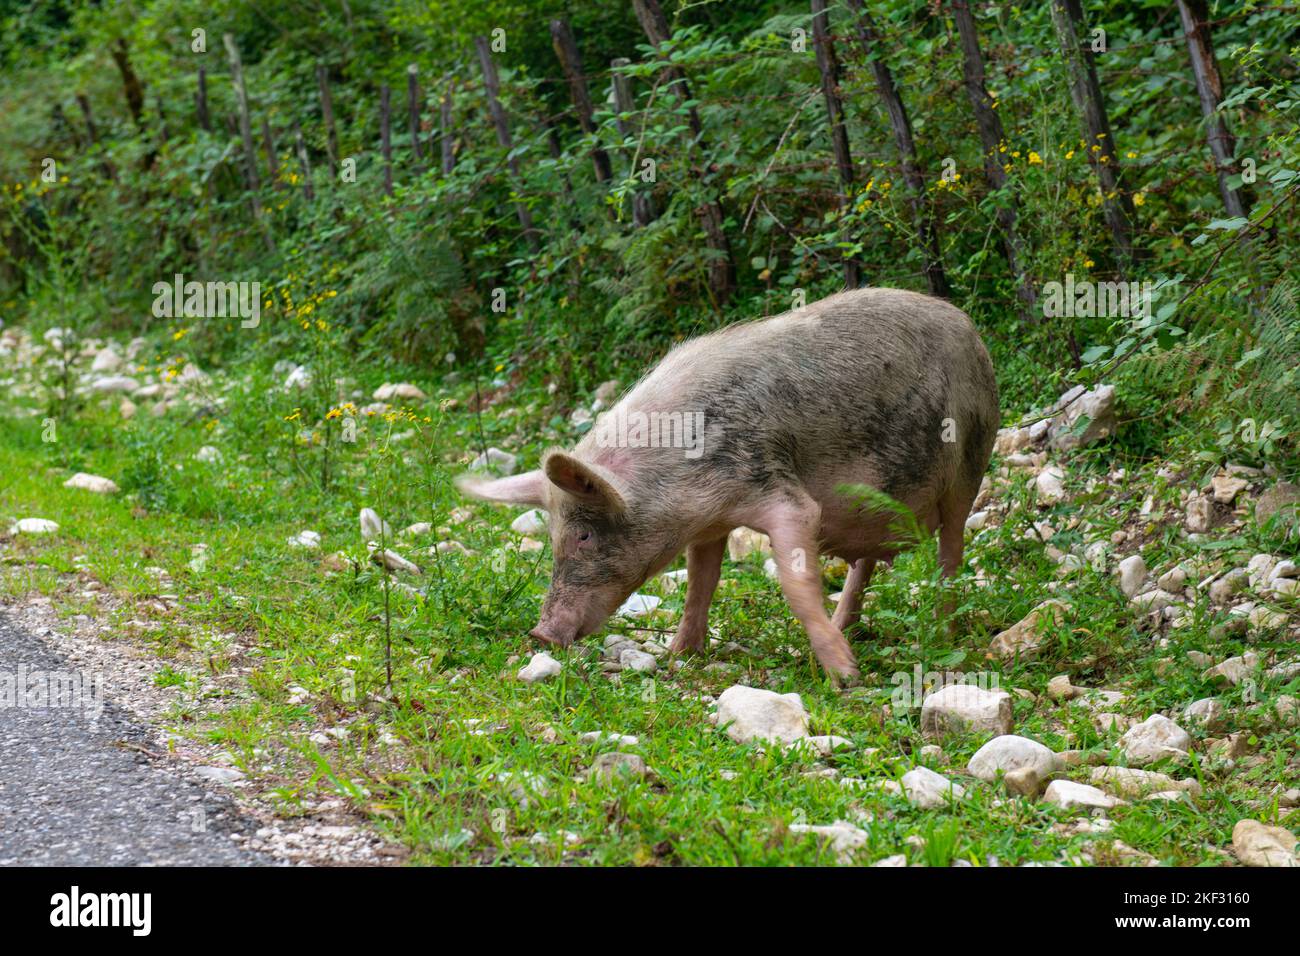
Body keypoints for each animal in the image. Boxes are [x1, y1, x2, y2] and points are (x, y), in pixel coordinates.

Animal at [457, 287, 999, 684]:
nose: (541, 634)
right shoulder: (709, 524)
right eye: (551, 538)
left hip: (972, 458)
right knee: (863, 564)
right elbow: (701, 583)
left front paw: (844, 676)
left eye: (585, 534)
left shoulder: (777, 488)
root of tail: (968, 323)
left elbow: (796, 580)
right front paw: (677, 655)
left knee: (952, 551)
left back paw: (942, 633)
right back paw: (846, 624)